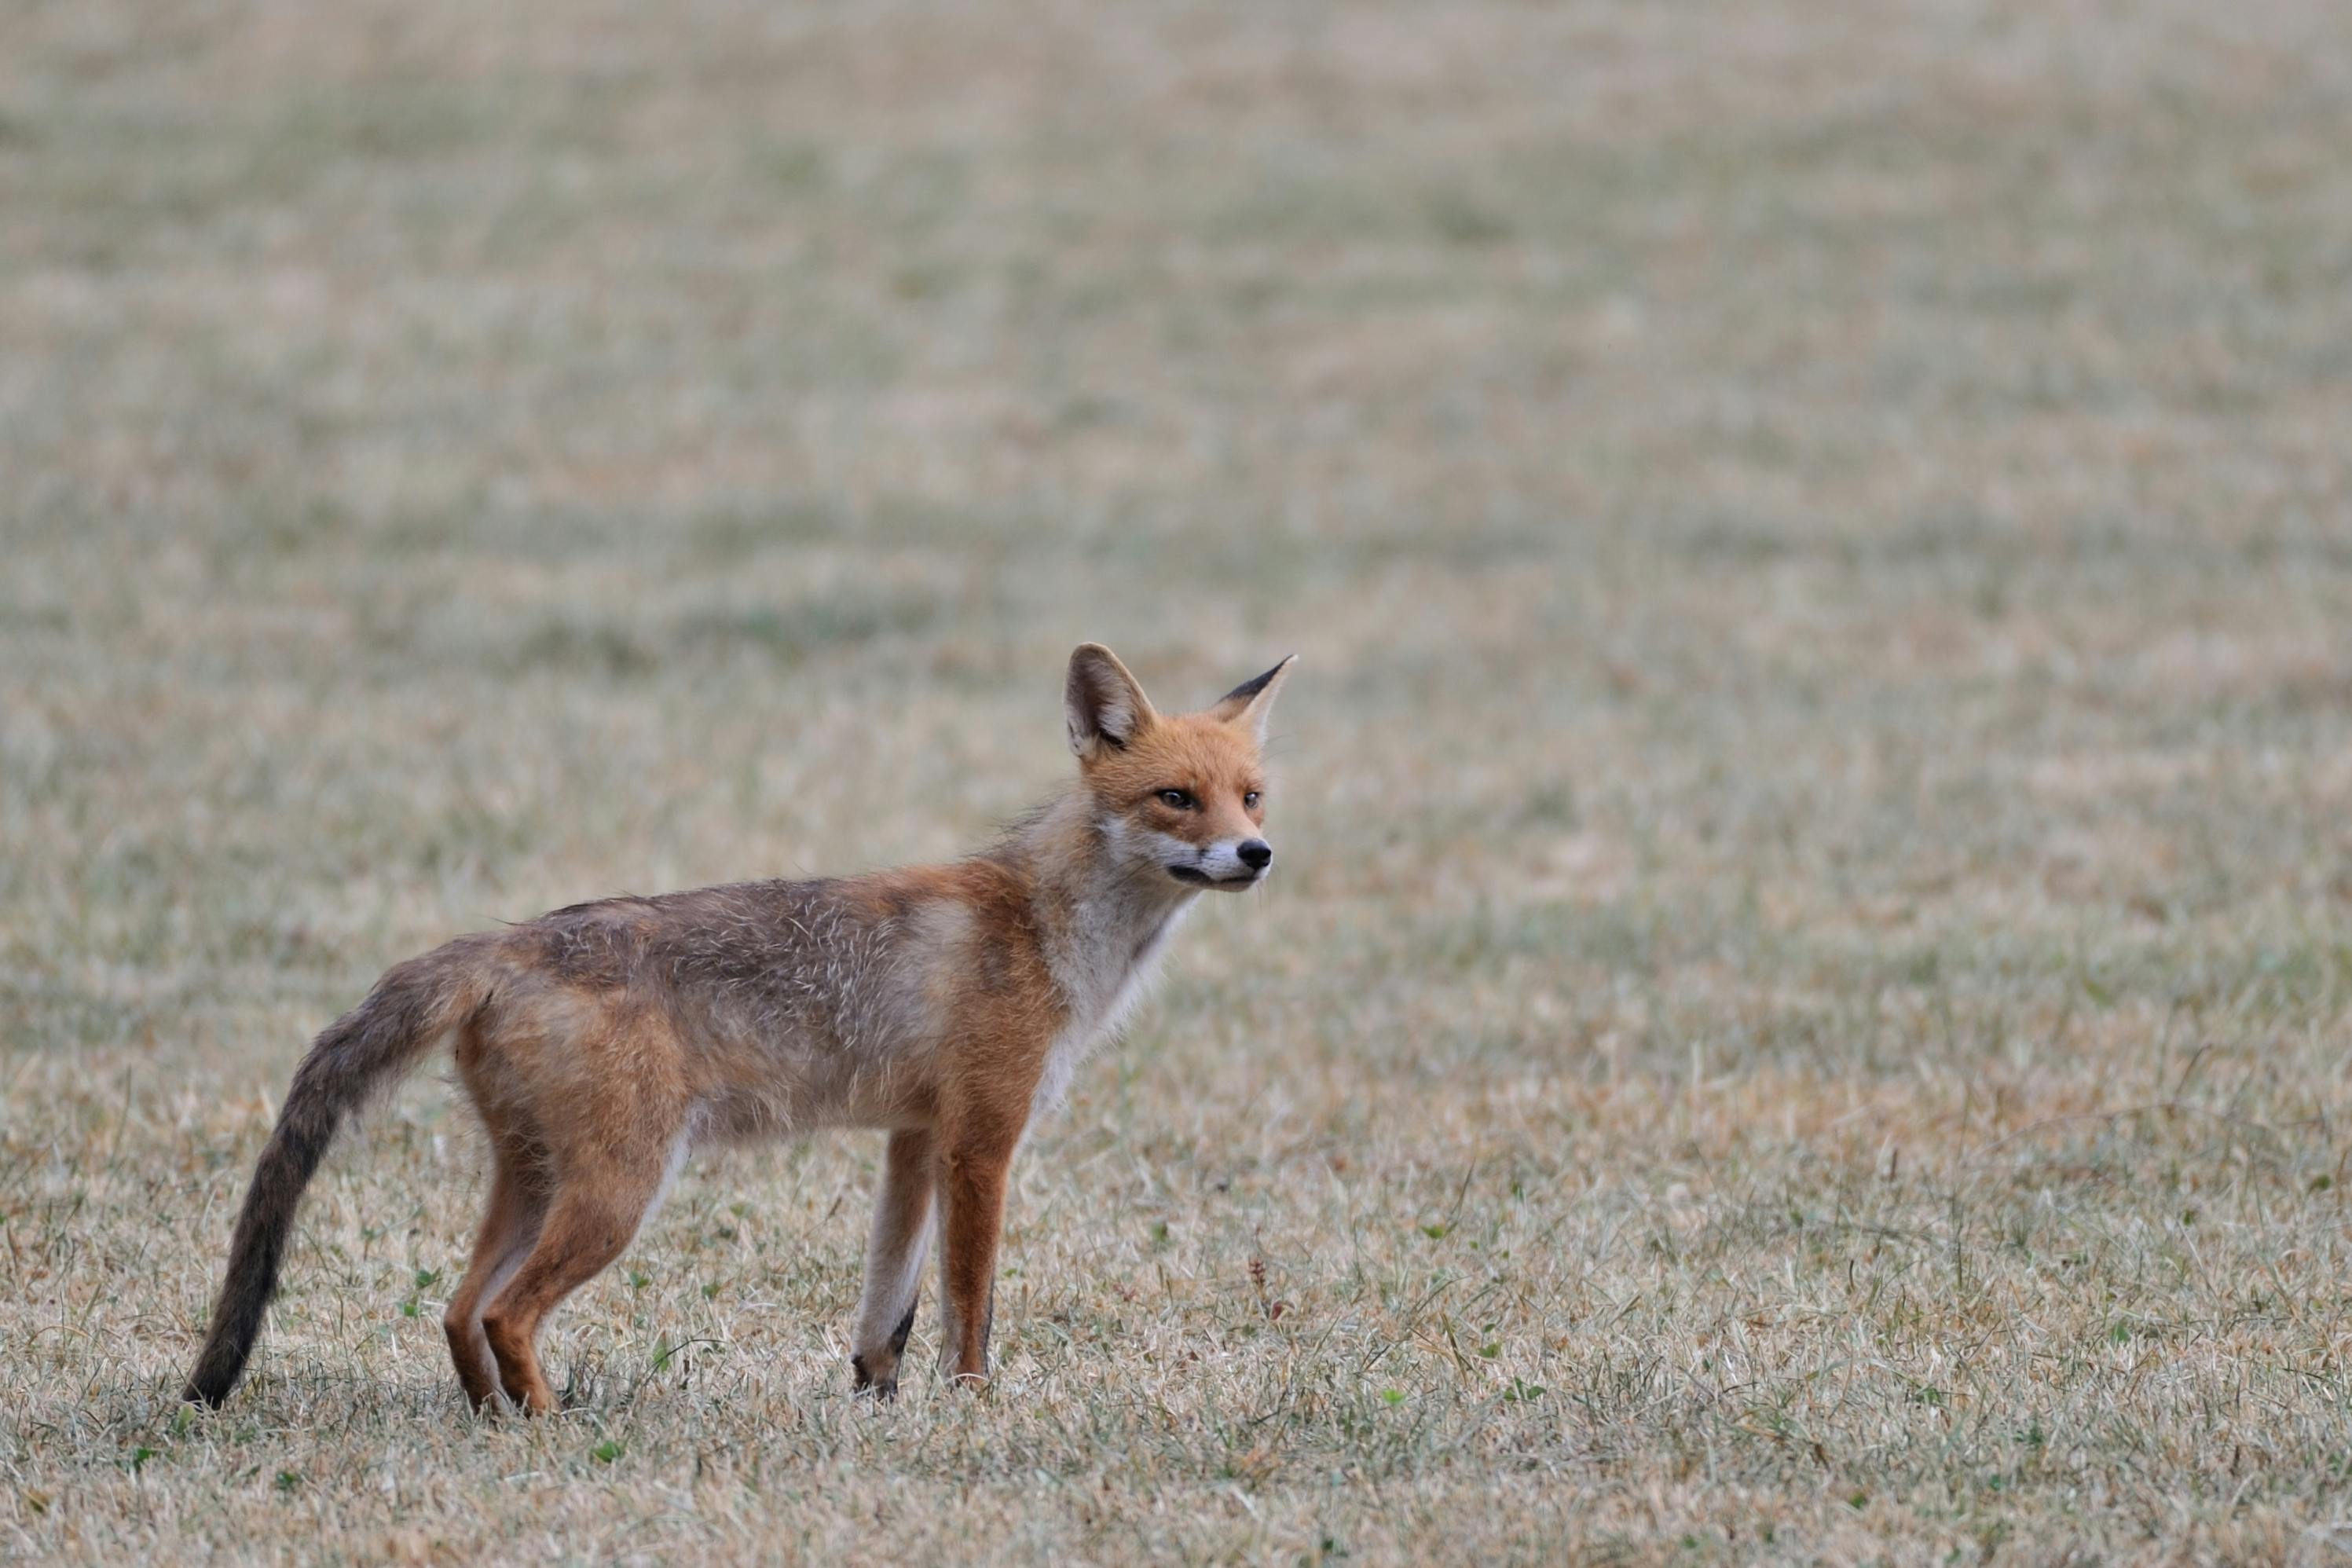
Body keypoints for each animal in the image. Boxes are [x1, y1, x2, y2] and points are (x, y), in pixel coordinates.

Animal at [182, 644, 1294, 1413]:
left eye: (1250, 795)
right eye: (1175, 797)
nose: (1257, 852)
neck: (1044, 925)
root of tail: (501, 944)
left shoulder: (913, 1137)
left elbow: (887, 1307)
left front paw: (878, 1404)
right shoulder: (982, 1139)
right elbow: (970, 1304)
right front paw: (976, 1408)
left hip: (536, 1180)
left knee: (457, 1309)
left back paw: (493, 1421)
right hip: (620, 1191)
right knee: (504, 1311)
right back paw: (549, 1428)